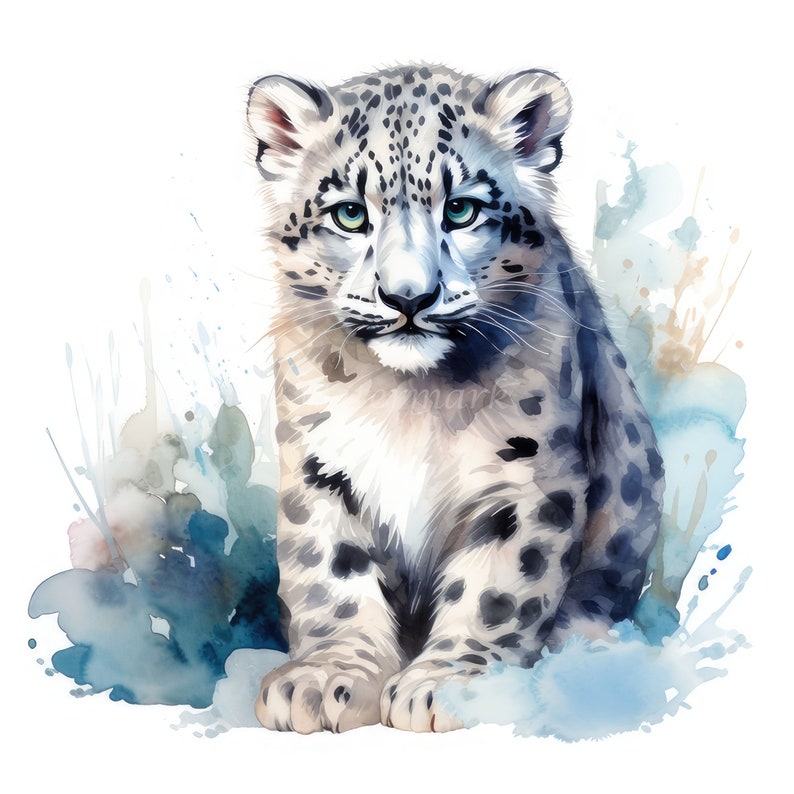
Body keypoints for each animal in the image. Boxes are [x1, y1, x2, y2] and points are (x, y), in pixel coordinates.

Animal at [245, 64, 664, 733]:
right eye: (350, 214)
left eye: (462, 209)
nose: (408, 297)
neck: (411, 401)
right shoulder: (321, 468)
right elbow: (330, 571)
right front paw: (326, 676)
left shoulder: (526, 477)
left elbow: (499, 588)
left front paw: (449, 685)